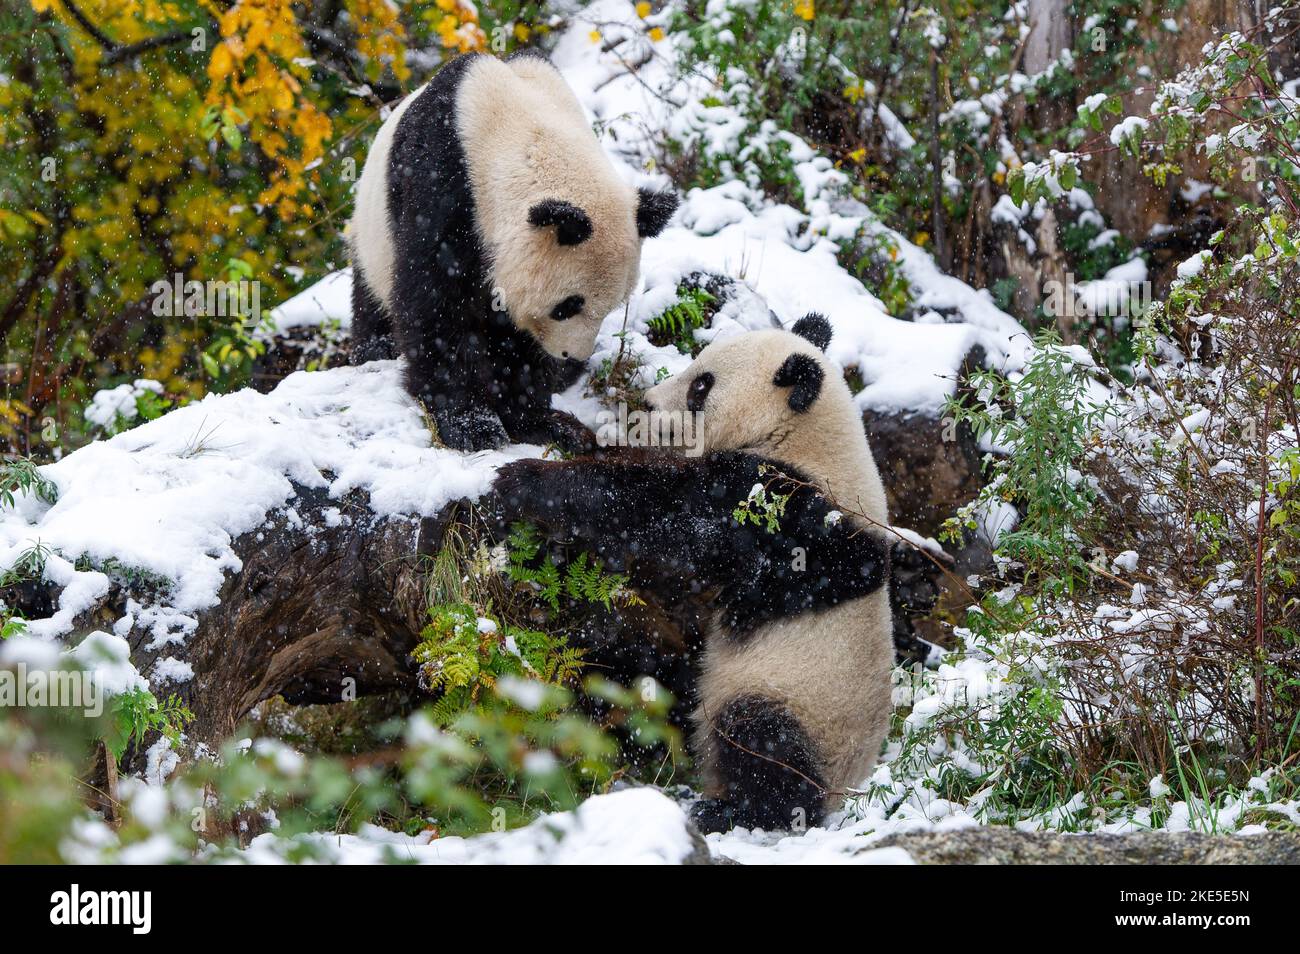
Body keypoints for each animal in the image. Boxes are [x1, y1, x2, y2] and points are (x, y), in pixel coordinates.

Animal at [349, 50, 678, 452]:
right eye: (567, 306)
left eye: (611, 307)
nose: (570, 353)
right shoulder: (441, 186)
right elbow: (435, 304)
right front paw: (471, 424)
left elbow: (513, 340)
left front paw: (541, 420)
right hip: (372, 238)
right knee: (371, 299)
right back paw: (374, 348)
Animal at [491, 313, 894, 832]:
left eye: (702, 385)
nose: (645, 403)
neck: (804, 437)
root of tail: (845, 791)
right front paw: (568, 431)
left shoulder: (778, 509)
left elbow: (667, 513)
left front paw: (524, 481)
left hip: (804, 703)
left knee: (762, 740)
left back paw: (730, 809)